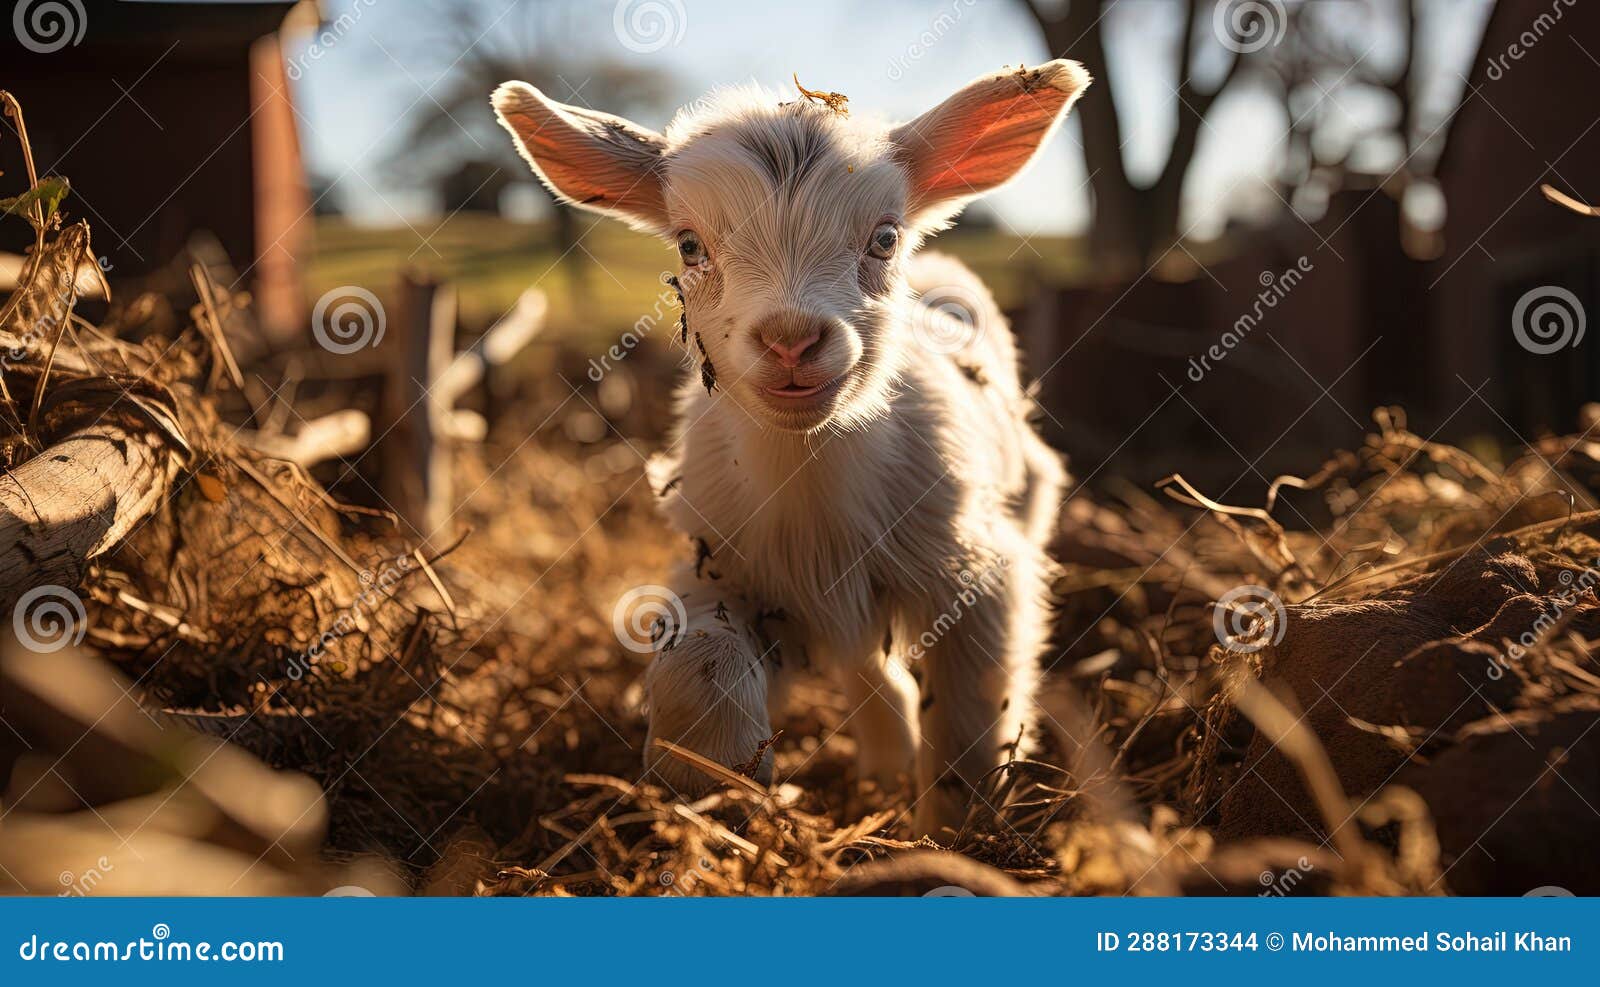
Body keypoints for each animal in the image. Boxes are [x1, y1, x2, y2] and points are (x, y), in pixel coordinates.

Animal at [493, 61, 1088, 834]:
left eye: (884, 238)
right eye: (689, 245)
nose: (791, 340)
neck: (809, 481)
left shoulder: (980, 573)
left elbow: (970, 725)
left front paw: (954, 838)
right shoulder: (722, 563)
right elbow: (697, 670)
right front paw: (716, 786)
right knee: (867, 665)